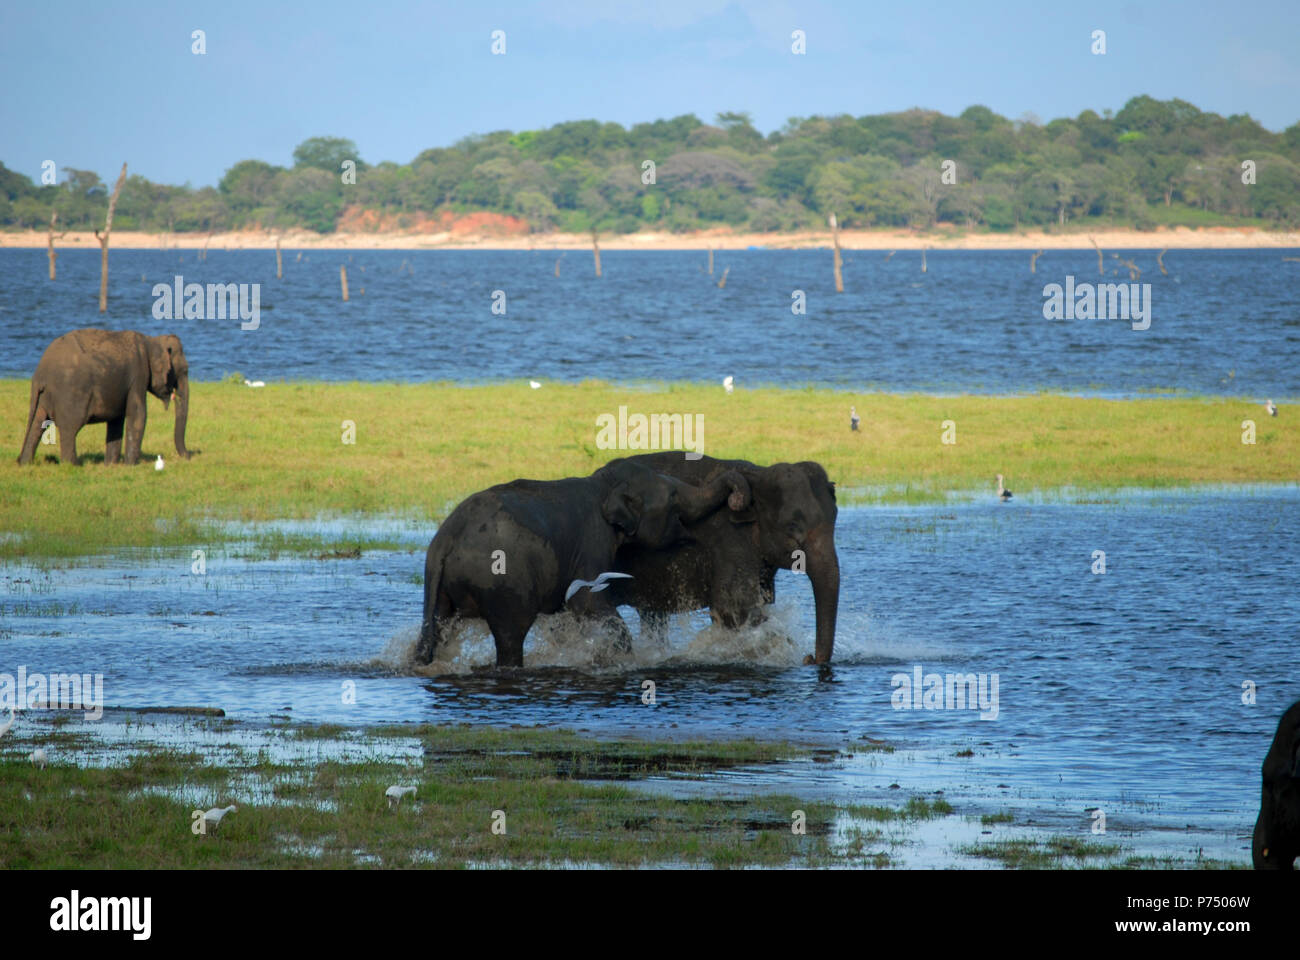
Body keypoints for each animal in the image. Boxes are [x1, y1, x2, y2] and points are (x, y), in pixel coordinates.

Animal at [17, 329, 191, 466]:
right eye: (184, 370)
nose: (188, 456)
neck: (150, 340)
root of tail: (40, 374)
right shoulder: (138, 375)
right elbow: (138, 414)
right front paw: (131, 465)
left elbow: (117, 420)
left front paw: (111, 465)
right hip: (70, 396)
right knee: (69, 429)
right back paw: (73, 465)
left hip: (43, 398)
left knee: (37, 425)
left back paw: (25, 463)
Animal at [415, 457, 751, 668]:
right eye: (672, 497)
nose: (737, 501)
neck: (603, 482)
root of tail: (446, 539)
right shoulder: (593, 541)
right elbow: (586, 601)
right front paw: (620, 659)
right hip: (502, 582)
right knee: (511, 635)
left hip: (437, 585)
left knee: (437, 627)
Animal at [606, 453, 839, 665]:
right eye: (792, 527)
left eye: (835, 517)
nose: (809, 658)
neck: (758, 474)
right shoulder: (729, 539)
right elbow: (735, 607)